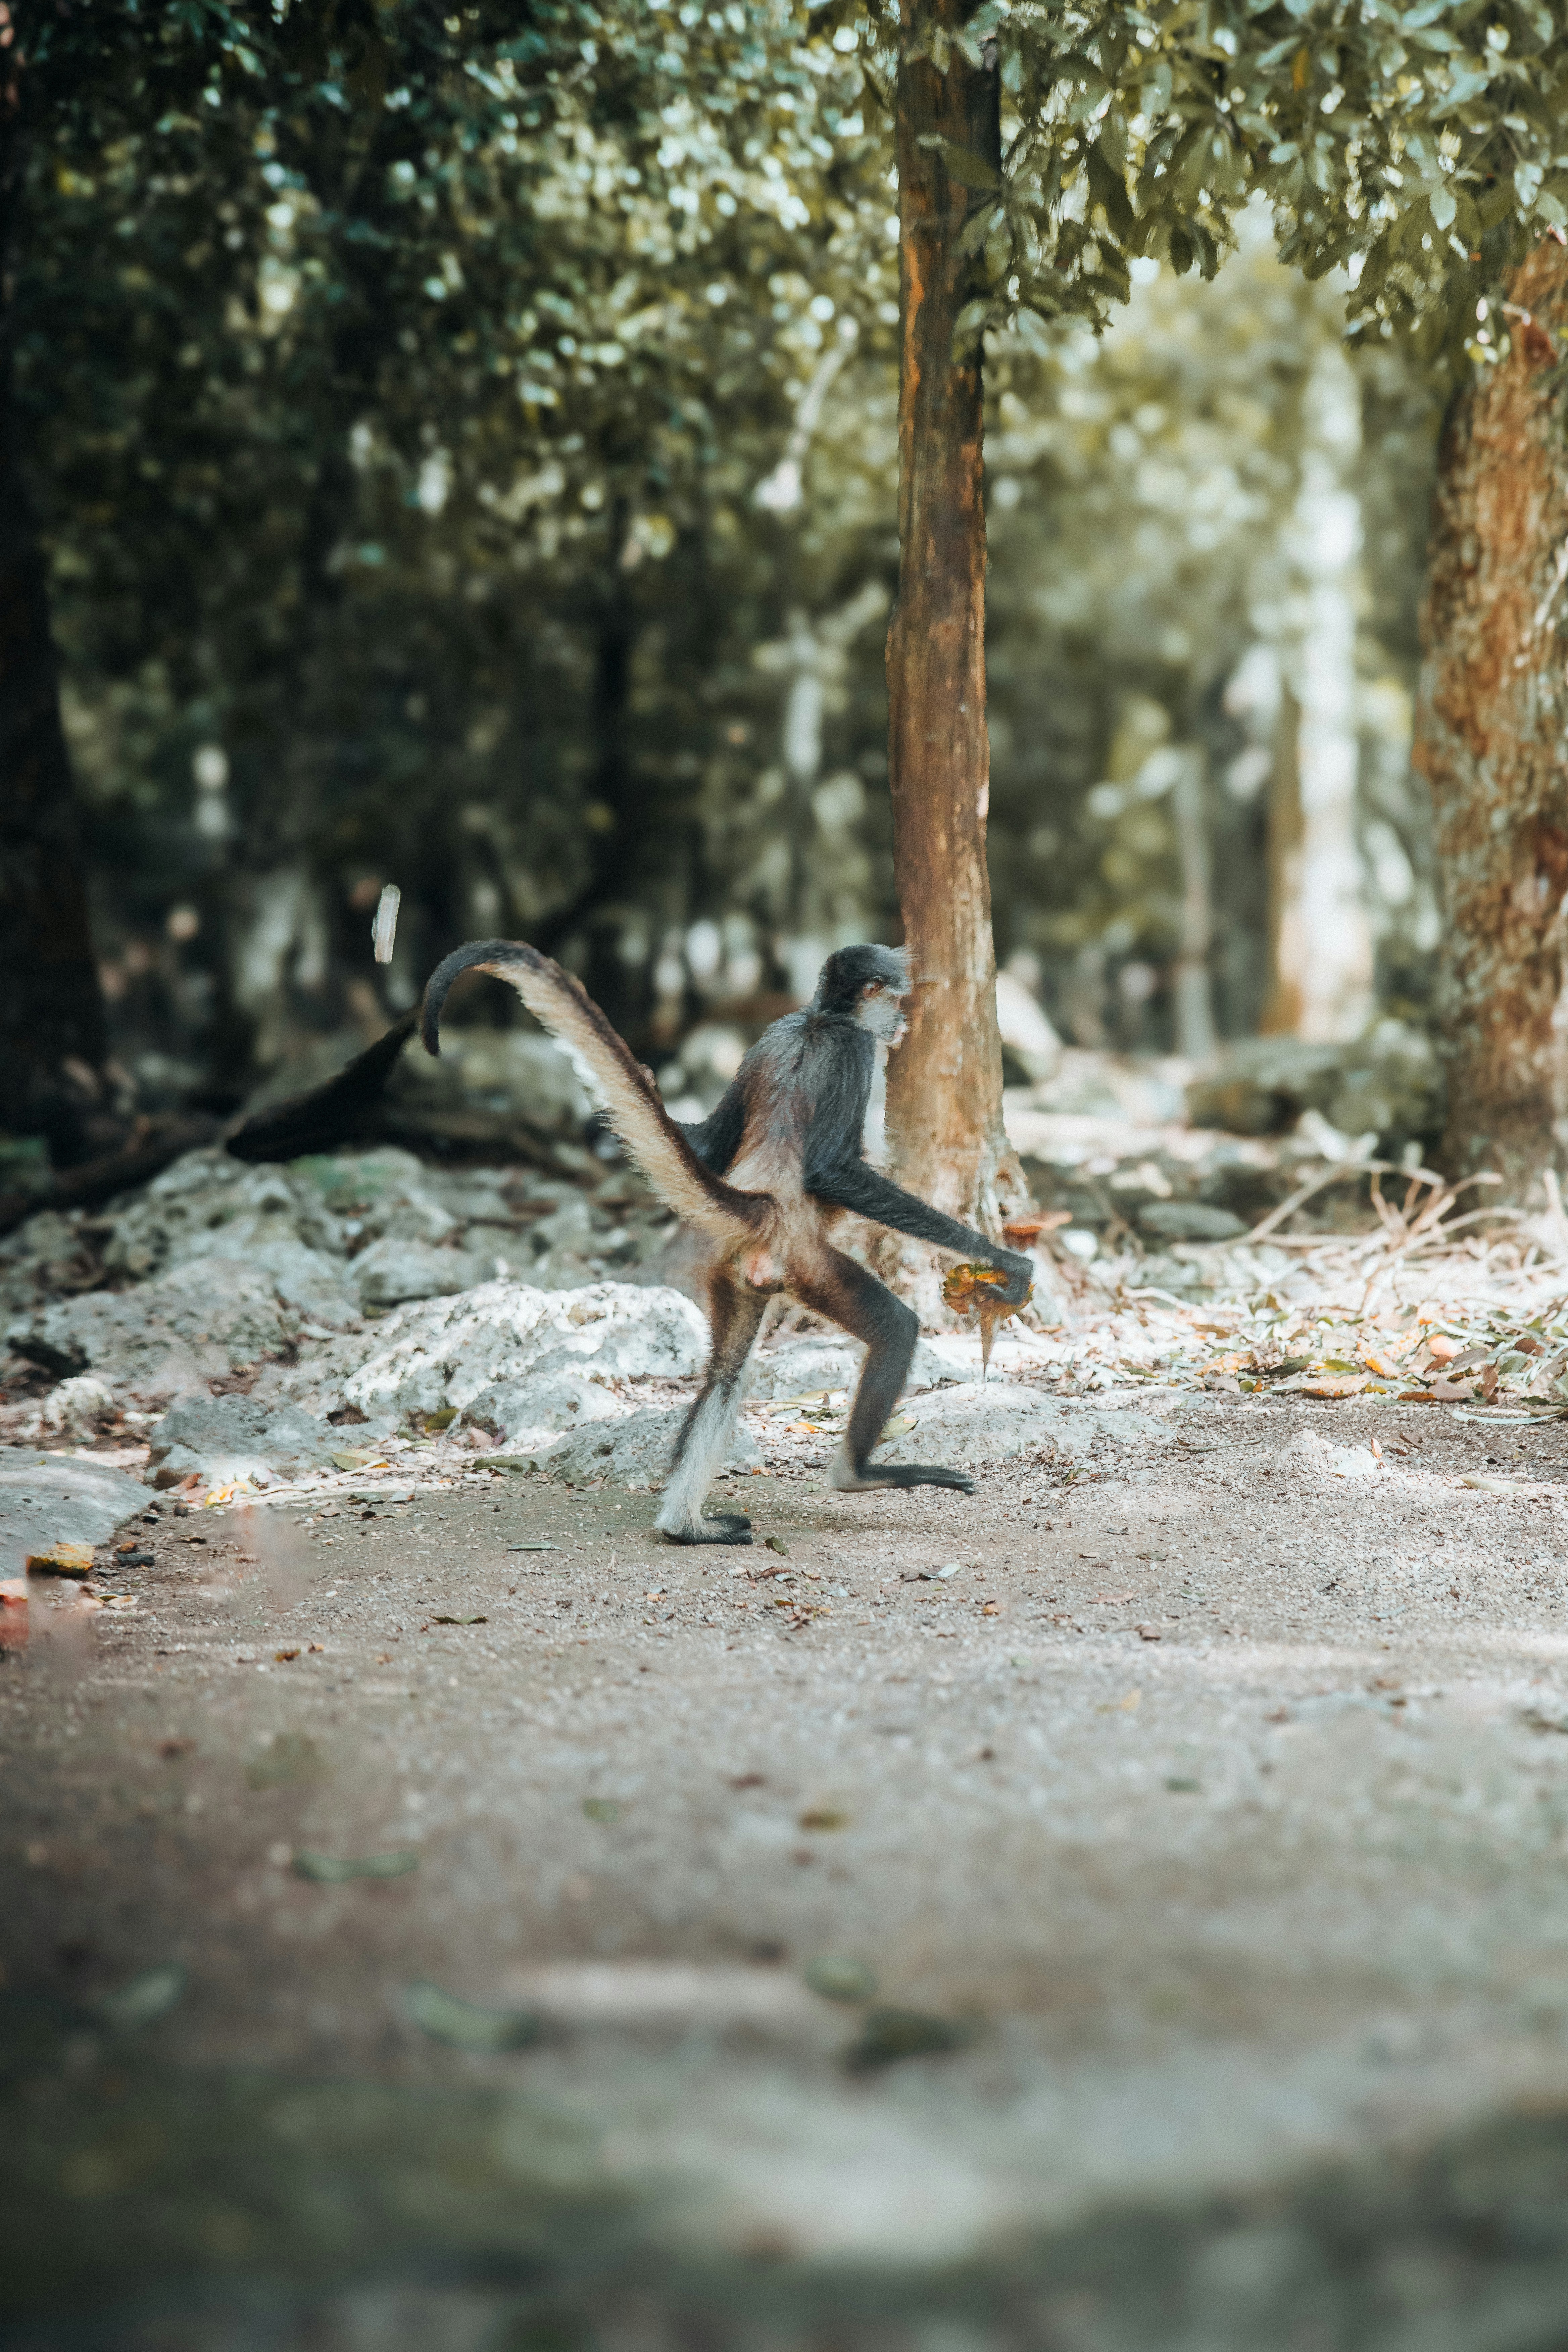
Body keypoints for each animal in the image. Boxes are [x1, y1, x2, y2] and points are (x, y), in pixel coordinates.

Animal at [421, 938, 1033, 1545]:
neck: (819, 1018)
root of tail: (764, 1204)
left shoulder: (773, 1031)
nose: (904, 1022)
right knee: (894, 1327)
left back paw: (684, 1527)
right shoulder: (853, 1045)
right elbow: (830, 1171)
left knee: (726, 1374)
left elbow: (714, 1141)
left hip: (738, 1272)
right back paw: (855, 1474)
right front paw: (999, 1258)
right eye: (897, 1001)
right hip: (807, 1262)